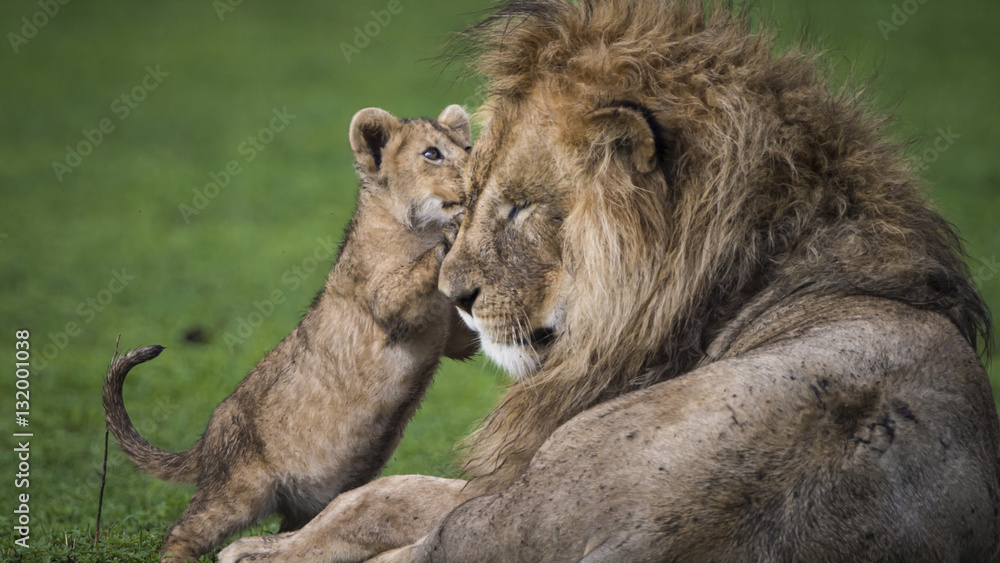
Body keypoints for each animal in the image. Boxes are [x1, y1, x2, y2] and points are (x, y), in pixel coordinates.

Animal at [103, 105, 477, 562]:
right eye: (431, 154)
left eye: (465, 147)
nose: (478, 168)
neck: (414, 225)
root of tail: (207, 440)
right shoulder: (380, 298)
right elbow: (409, 281)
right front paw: (455, 230)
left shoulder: (453, 338)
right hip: (240, 489)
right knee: (183, 530)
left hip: (306, 502)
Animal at [220, 1, 1000, 561]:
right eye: (471, 195)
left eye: (520, 206)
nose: (455, 298)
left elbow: (384, 493)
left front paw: (265, 548)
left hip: (525, 496)